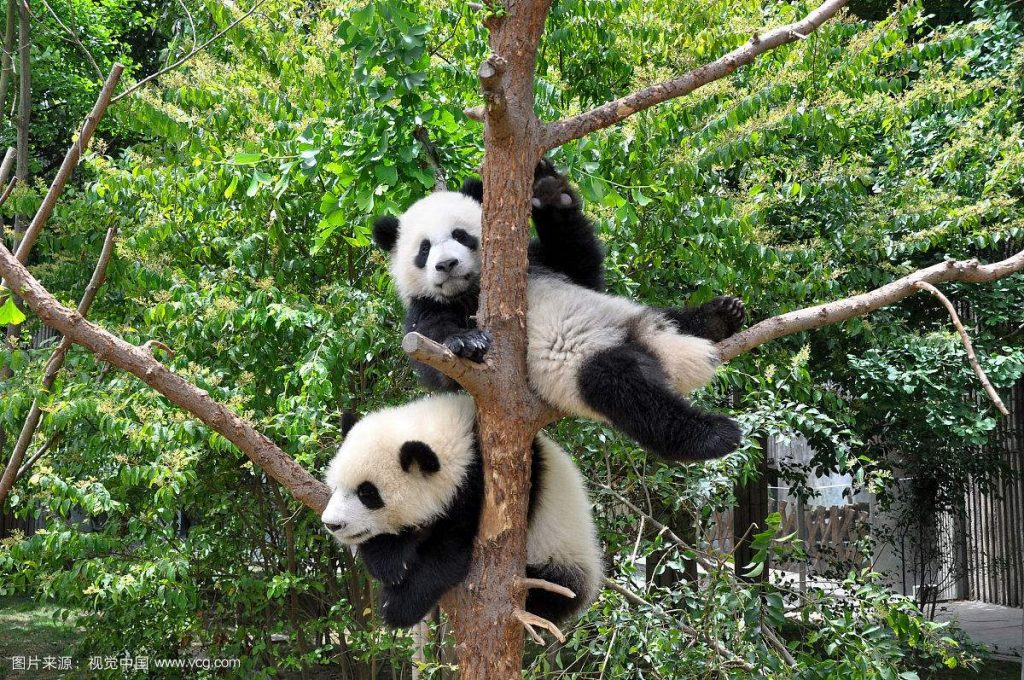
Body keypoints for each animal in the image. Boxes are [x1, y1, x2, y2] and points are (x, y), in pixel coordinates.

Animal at [320, 393, 603, 629]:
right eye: (335, 485)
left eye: (367, 494)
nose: (332, 524)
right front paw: (387, 559)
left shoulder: (484, 492)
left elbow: (451, 553)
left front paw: (398, 605)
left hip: (560, 555)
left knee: (549, 591)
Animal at [371, 165, 745, 463]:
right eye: (424, 250)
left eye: (460, 235)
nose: (447, 264)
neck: (472, 289)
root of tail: (653, 343)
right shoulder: (429, 307)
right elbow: (437, 362)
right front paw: (467, 343)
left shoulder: (539, 264)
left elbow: (581, 265)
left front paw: (551, 193)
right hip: (580, 367)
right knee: (627, 391)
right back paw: (712, 435)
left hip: (635, 314)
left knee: (672, 321)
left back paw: (719, 317)